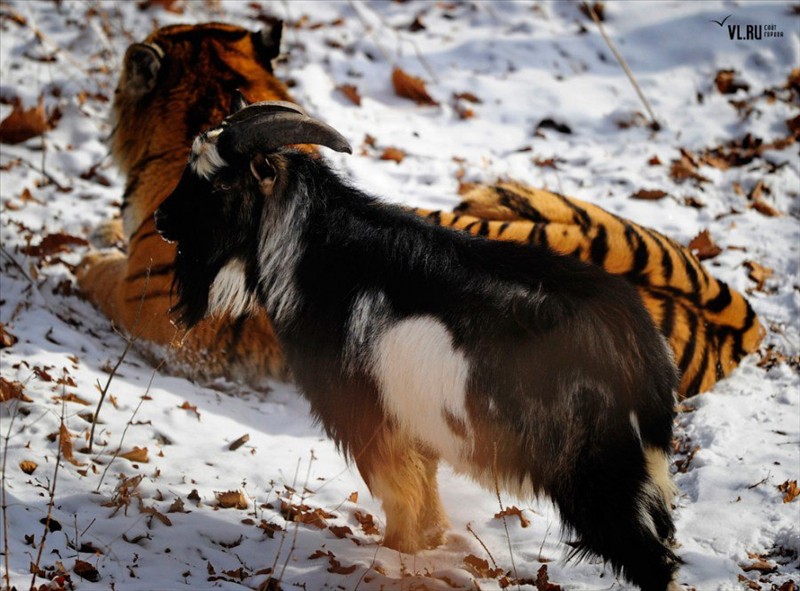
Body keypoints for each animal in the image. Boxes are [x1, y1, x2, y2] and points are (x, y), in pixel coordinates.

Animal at [155, 101, 681, 590]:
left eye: (220, 184)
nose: (161, 218)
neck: (322, 257)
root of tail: (640, 351)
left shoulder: (369, 412)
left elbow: (399, 489)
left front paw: (396, 551)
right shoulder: (408, 421)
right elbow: (421, 484)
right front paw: (429, 542)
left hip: (595, 473)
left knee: (652, 561)